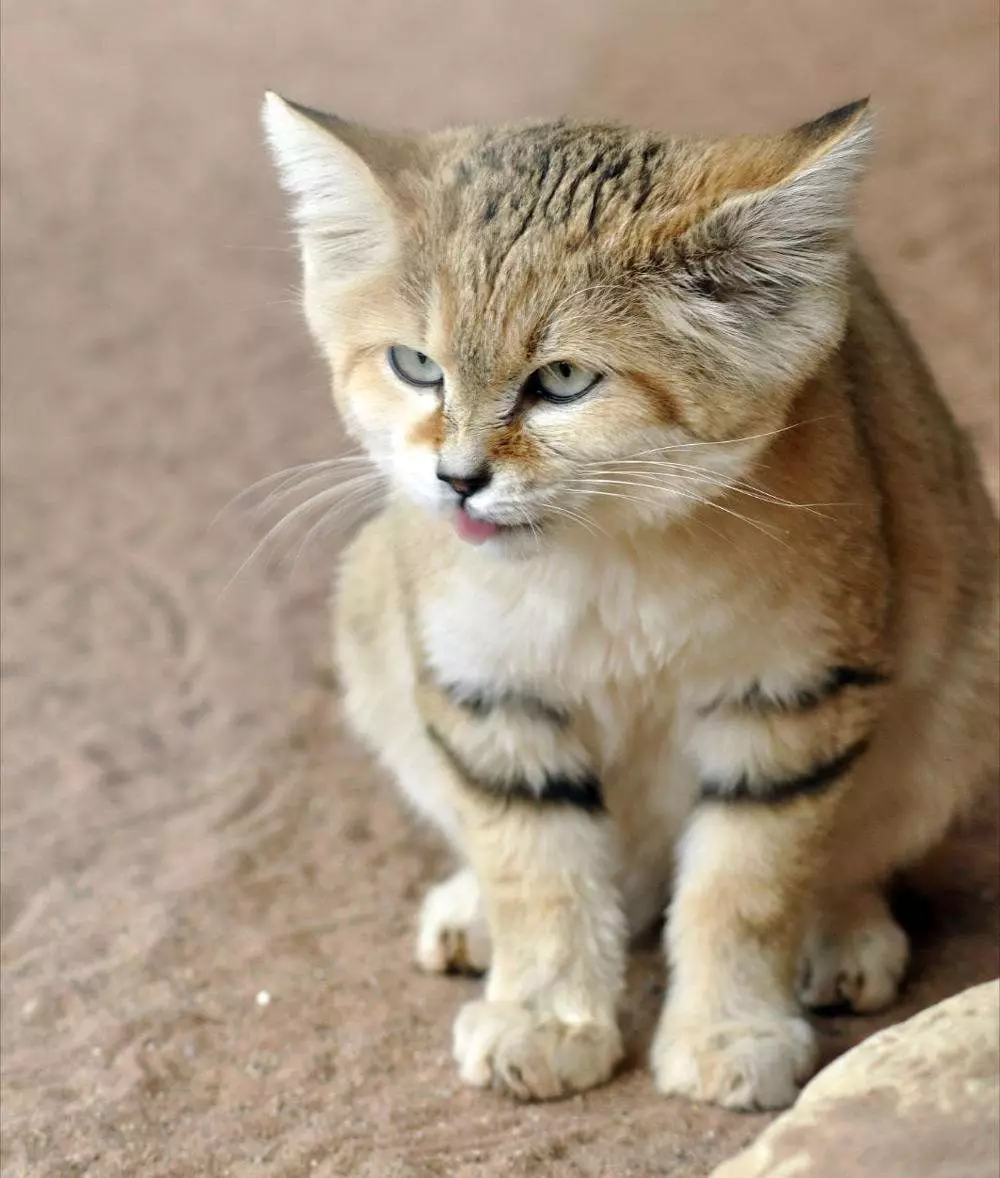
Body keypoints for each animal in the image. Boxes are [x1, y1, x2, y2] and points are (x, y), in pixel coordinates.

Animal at [261, 96, 994, 1107]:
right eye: (415, 365)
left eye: (564, 380)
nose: (457, 481)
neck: (599, 560)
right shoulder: (491, 694)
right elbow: (538, 873)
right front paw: (547, 1016)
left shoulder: (793, 701)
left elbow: (745, 885)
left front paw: (727, 1029)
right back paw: (473, 912)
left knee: (848, 850)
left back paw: (841, 929)